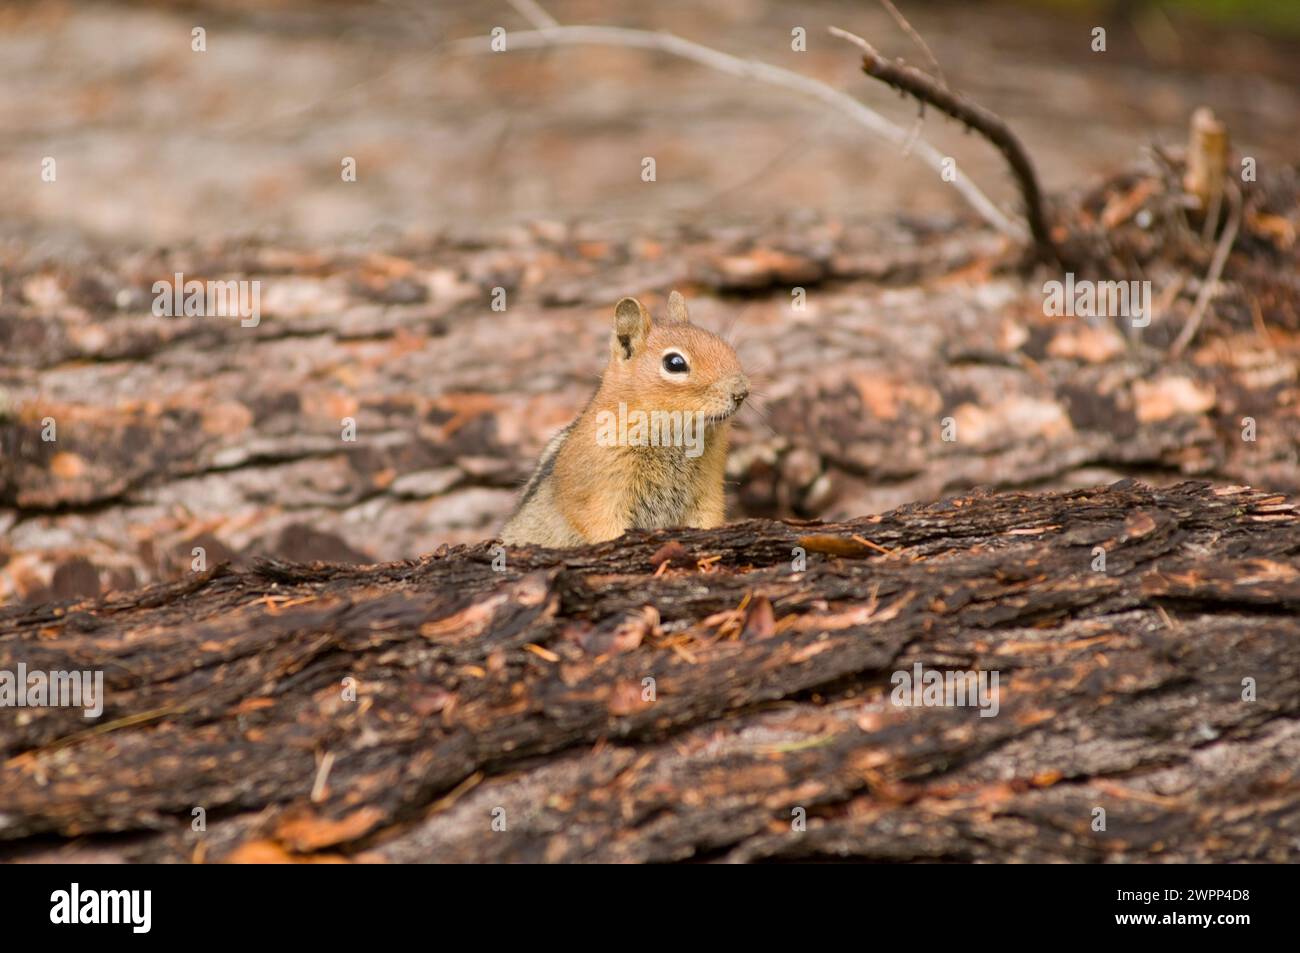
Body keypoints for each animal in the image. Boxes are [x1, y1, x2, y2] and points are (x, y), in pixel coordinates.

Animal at [501, 292, 749, 548]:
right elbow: (601, 524)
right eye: (674, 363)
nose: (741, 392)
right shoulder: (600, 493)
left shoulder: (708, 492)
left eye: (727, 347)